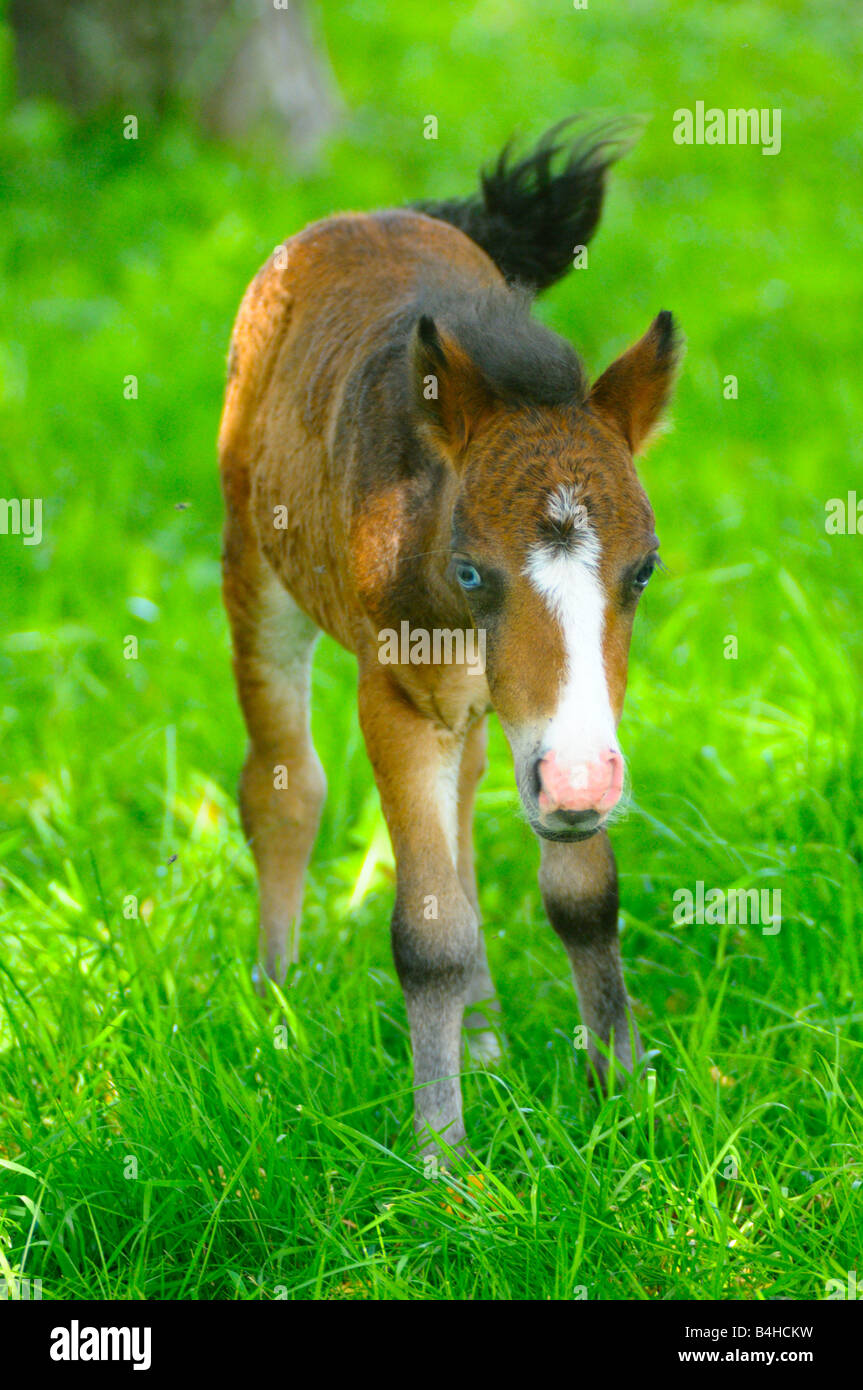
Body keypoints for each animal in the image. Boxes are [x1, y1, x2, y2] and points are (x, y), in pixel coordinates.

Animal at [218, 119, 681, 1154]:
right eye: (472, 572)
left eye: (643, 569)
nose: (580, 779)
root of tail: (371, 214)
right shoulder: (395, 696)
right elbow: (426, 933)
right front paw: (444, 1161)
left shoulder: (568, 725)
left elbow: (582, 896)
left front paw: (623, 1107)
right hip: (254, 563)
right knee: (281, 785)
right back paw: (274, 1017)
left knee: (464, 817)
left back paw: (486, 1043)